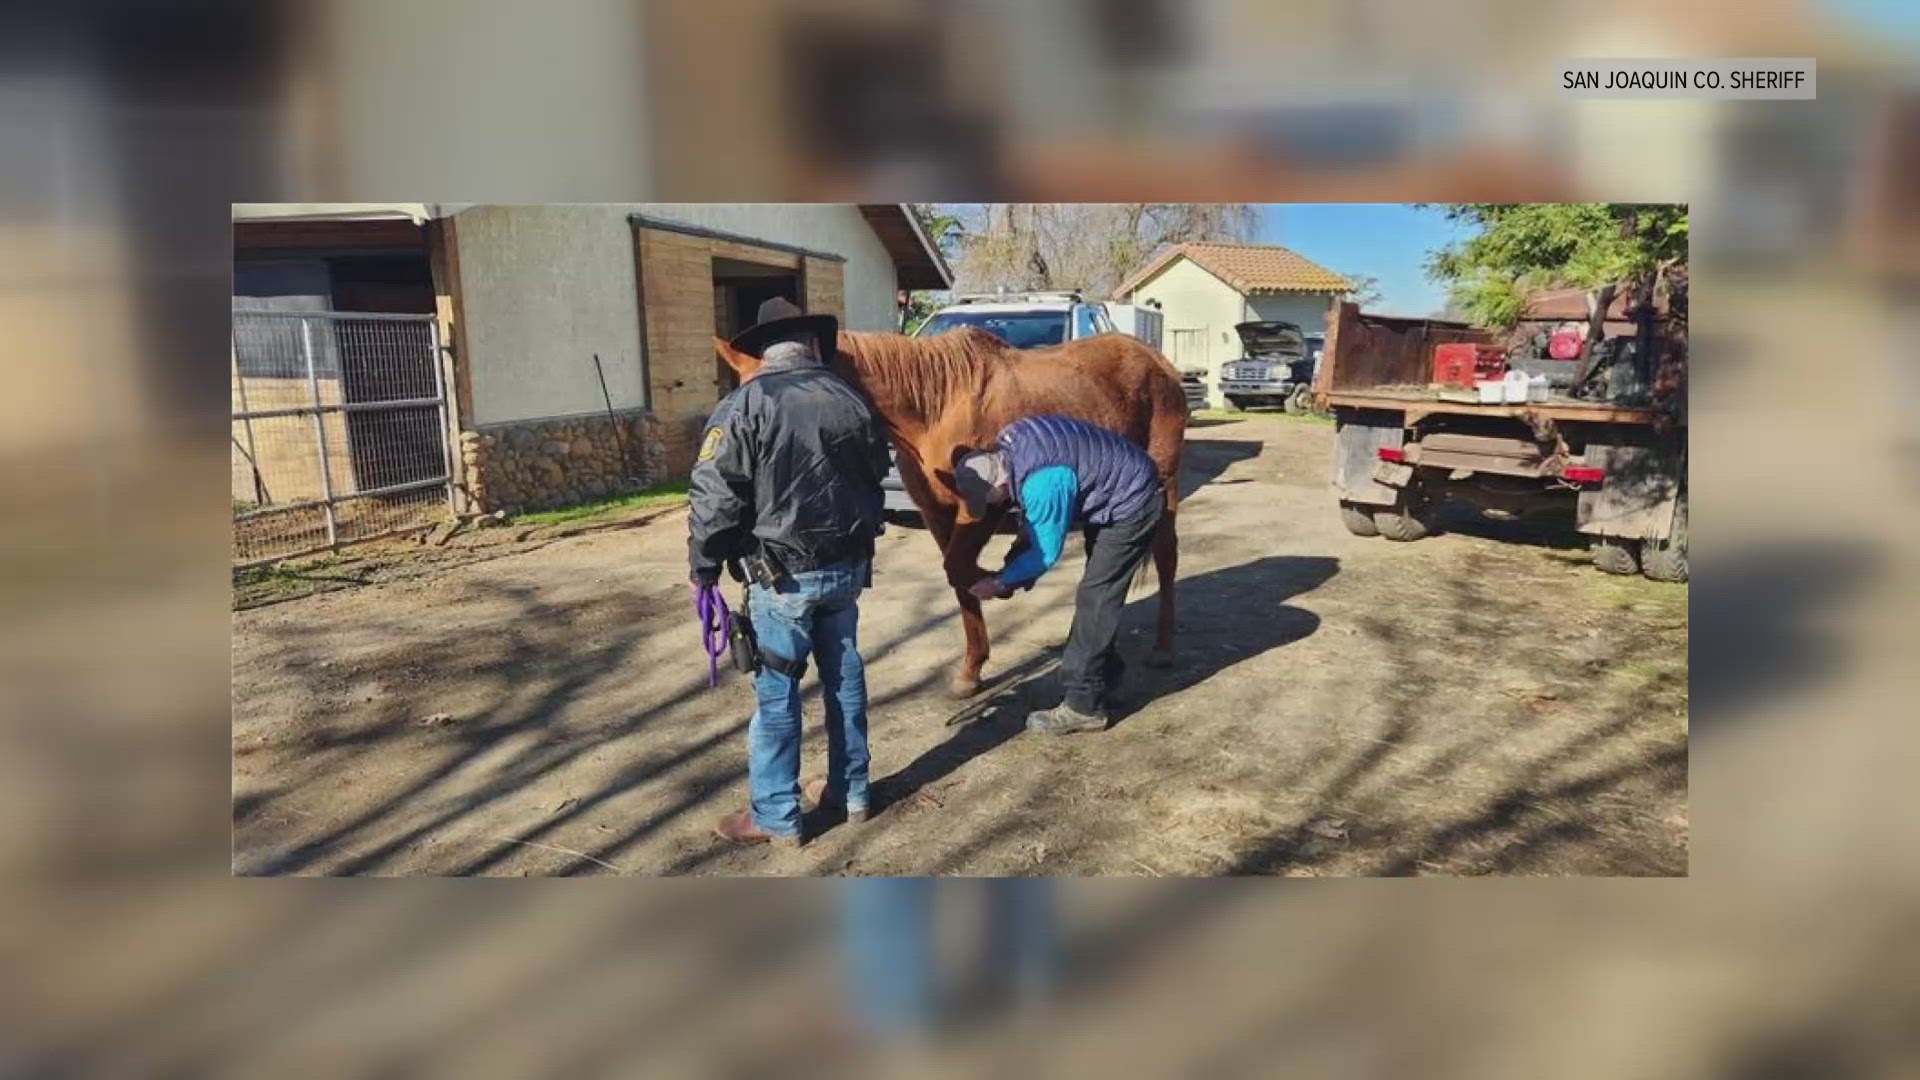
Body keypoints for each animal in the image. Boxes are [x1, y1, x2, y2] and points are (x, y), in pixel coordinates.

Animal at [713, 327, 1187, 697]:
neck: (935, 406)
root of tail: (1157, 361)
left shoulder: (980, 509)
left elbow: (962, 568)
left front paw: (1008, 579)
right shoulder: (938, 515)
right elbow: (956, 577)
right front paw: (972, 669)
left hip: (1162, 486)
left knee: (1165, 558)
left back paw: (1164, 649)